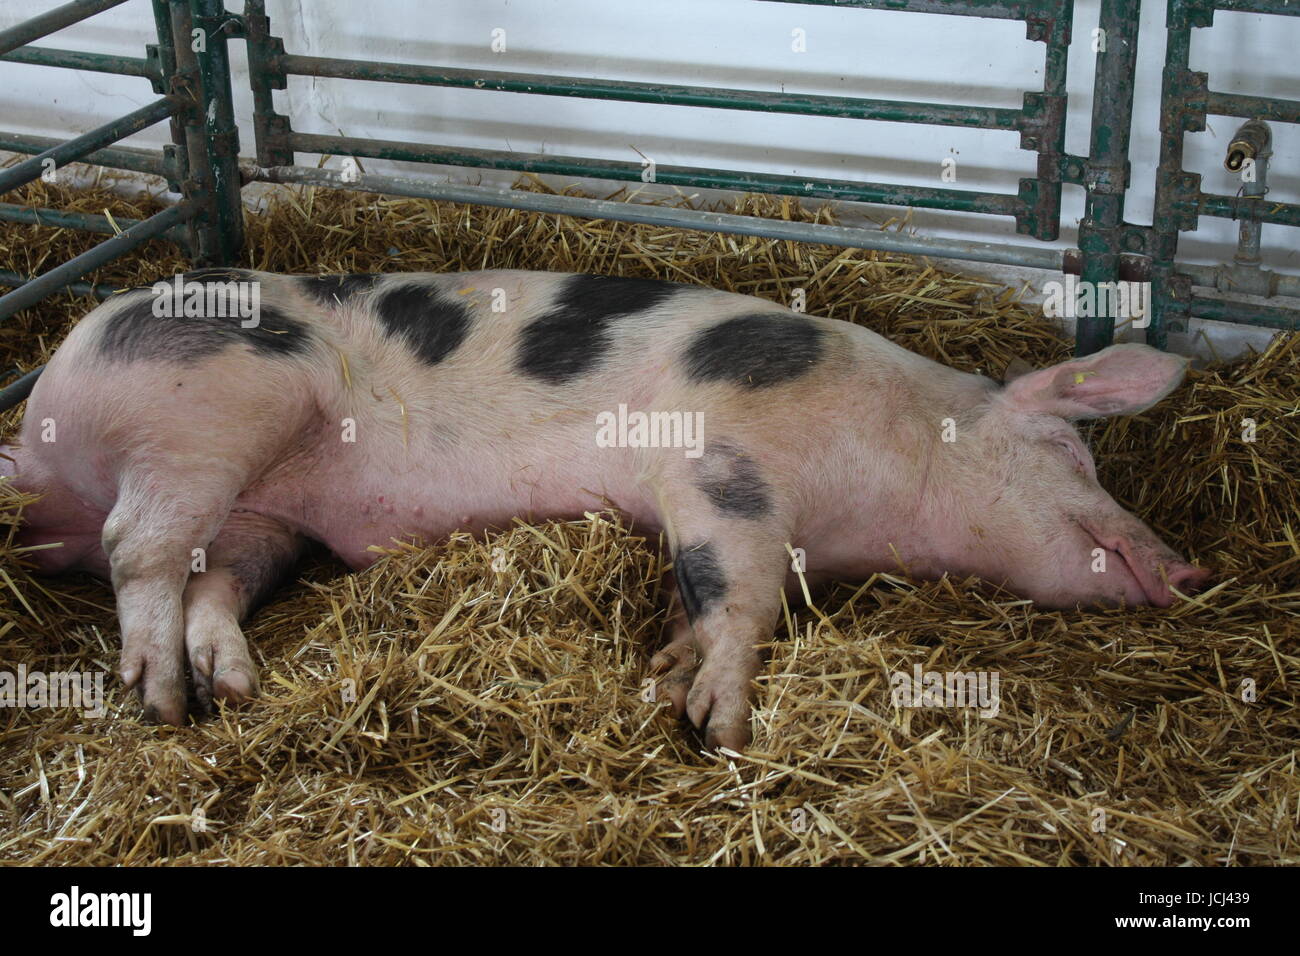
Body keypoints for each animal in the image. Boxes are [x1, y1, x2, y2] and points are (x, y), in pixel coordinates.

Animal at [0, 268, 1209, 749]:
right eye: (1069, 446)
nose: (1191, 570)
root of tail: (42, 406)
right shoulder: (720, 460)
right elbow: (744, 592)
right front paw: (716, 724)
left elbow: (702, 594)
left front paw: (668, 673)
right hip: (209, 413)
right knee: (137, 547)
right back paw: (159, 701)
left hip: (266, 509)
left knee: (211, 573)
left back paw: (230, 687)